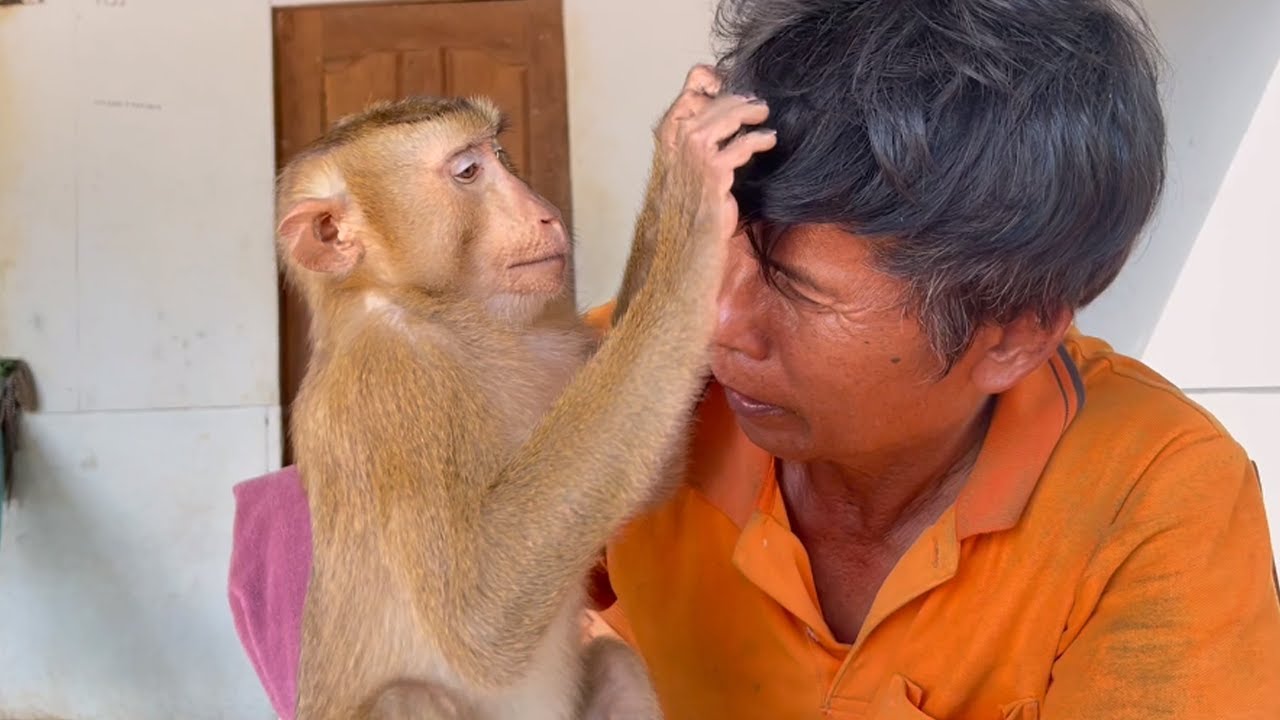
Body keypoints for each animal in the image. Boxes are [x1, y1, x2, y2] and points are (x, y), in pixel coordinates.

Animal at [274, 70, 774, 719]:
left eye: (499, 152)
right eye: (467, 170)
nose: (544, 215)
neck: (442, 315)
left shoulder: (553, 342)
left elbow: (649, 472)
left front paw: (674, 155)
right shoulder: (391, 384)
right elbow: (481, 617)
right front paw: (693, 203)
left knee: (614, 661)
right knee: (408, 698)